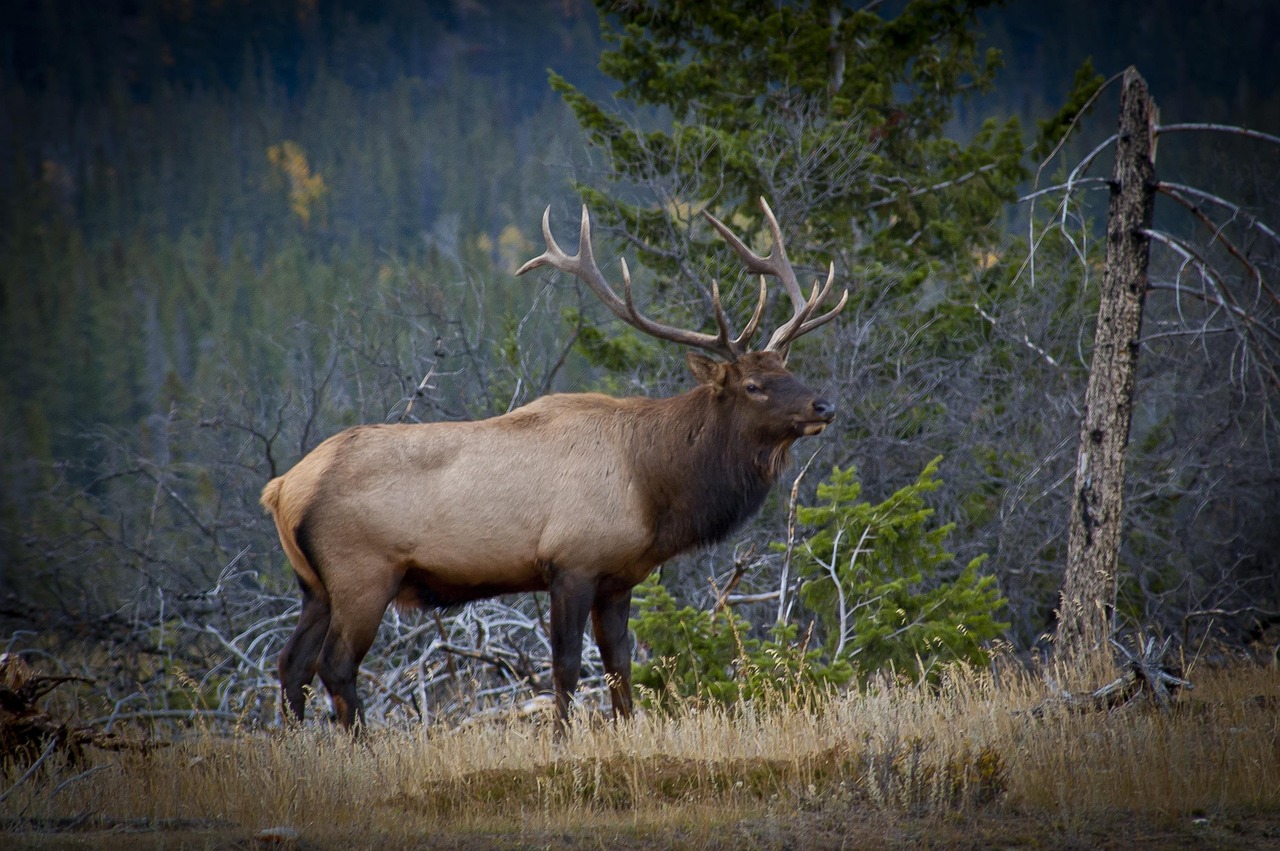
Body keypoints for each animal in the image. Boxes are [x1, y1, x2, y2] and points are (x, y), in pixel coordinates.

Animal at [260, 197, 847, 731]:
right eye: (753, 385)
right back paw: (362, 746)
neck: (654, 487)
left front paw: (626, 730)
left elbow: (619, 664)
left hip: (314, 585)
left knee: (292, 665)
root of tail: (282, 488)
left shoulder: (618, 577)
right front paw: (564, 737)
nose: (824, 406)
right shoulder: (571, 562)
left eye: (787, 369)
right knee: (335, 666)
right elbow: (565, 665)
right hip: (362, 573)